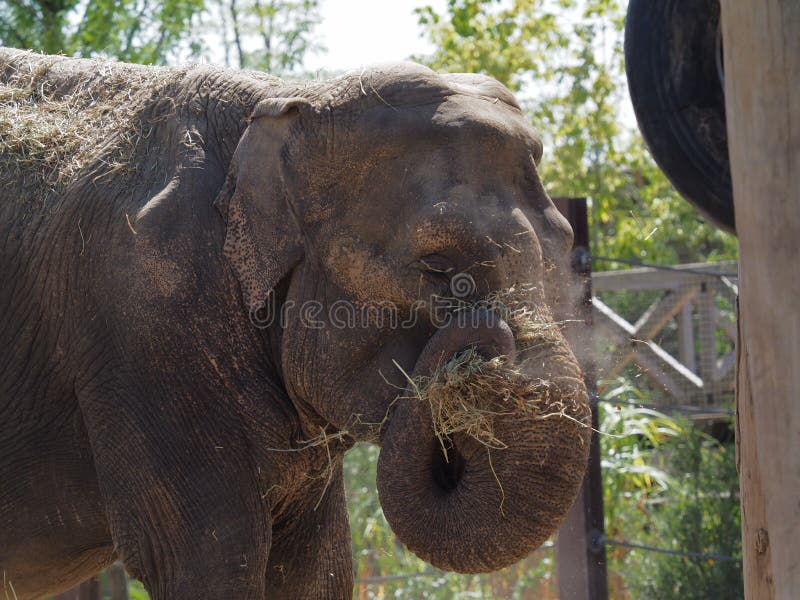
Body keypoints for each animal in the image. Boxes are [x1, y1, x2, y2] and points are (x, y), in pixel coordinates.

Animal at [0, 48, 590, 599]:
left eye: (563, 250)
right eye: (438, 266)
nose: (485, 339)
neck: (289, 100)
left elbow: (315, 570)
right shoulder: (145, 319)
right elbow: (209, 561)